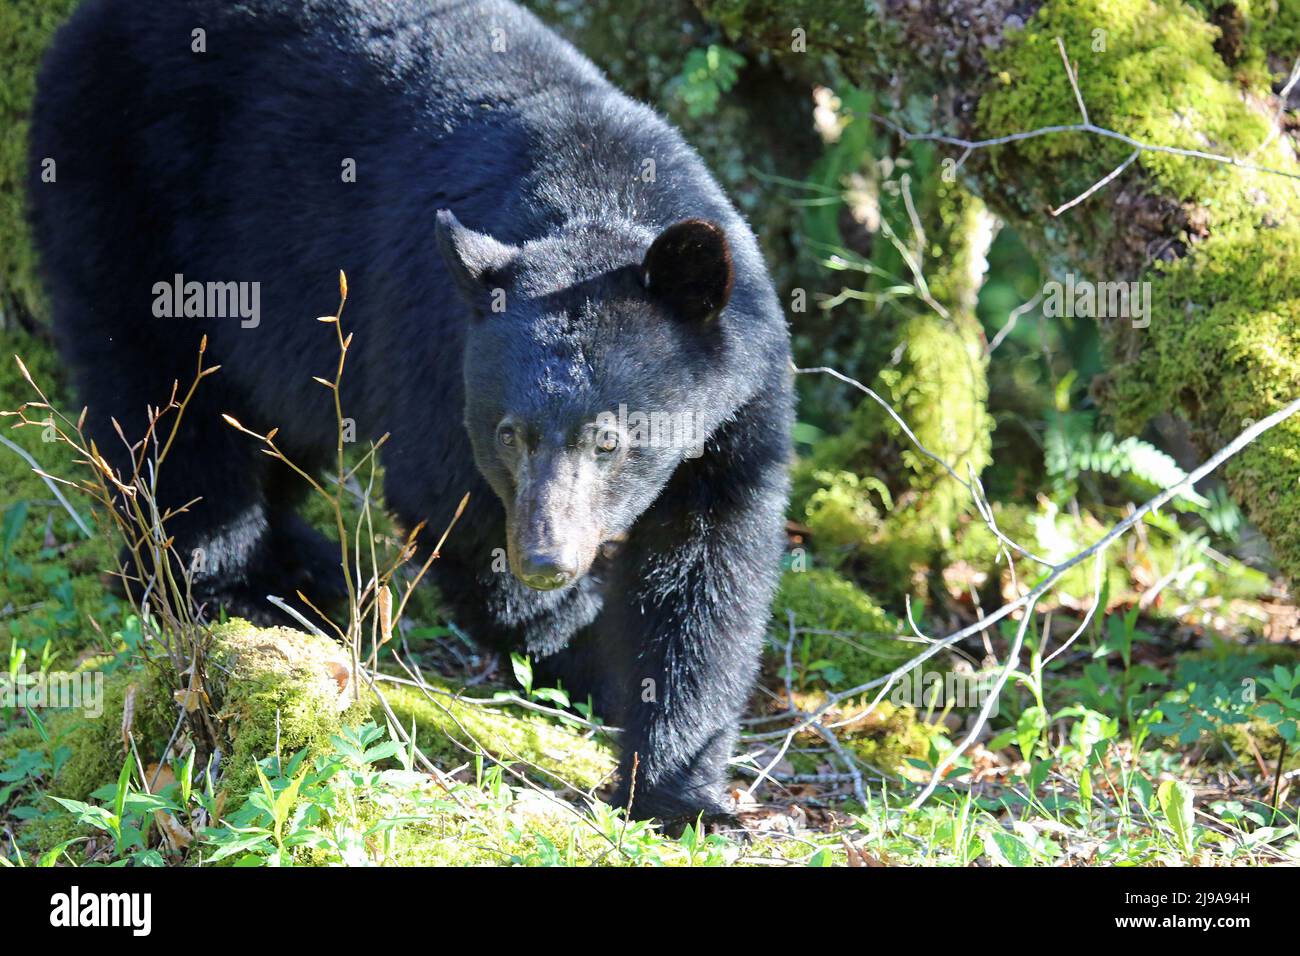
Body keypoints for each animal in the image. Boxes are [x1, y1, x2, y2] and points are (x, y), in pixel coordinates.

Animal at [28, 0, 793, 824]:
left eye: (611, 440)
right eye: (508, 435)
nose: (547, 558)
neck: (597, 192)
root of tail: (84, 26)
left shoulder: (740, 408)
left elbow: (708, 569)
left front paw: (680, 791)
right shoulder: (431, 351)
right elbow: (454, 505)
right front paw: (585, 651)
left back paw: (302, 562)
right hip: (127, 196)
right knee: (165, 409)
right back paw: (226, 583)